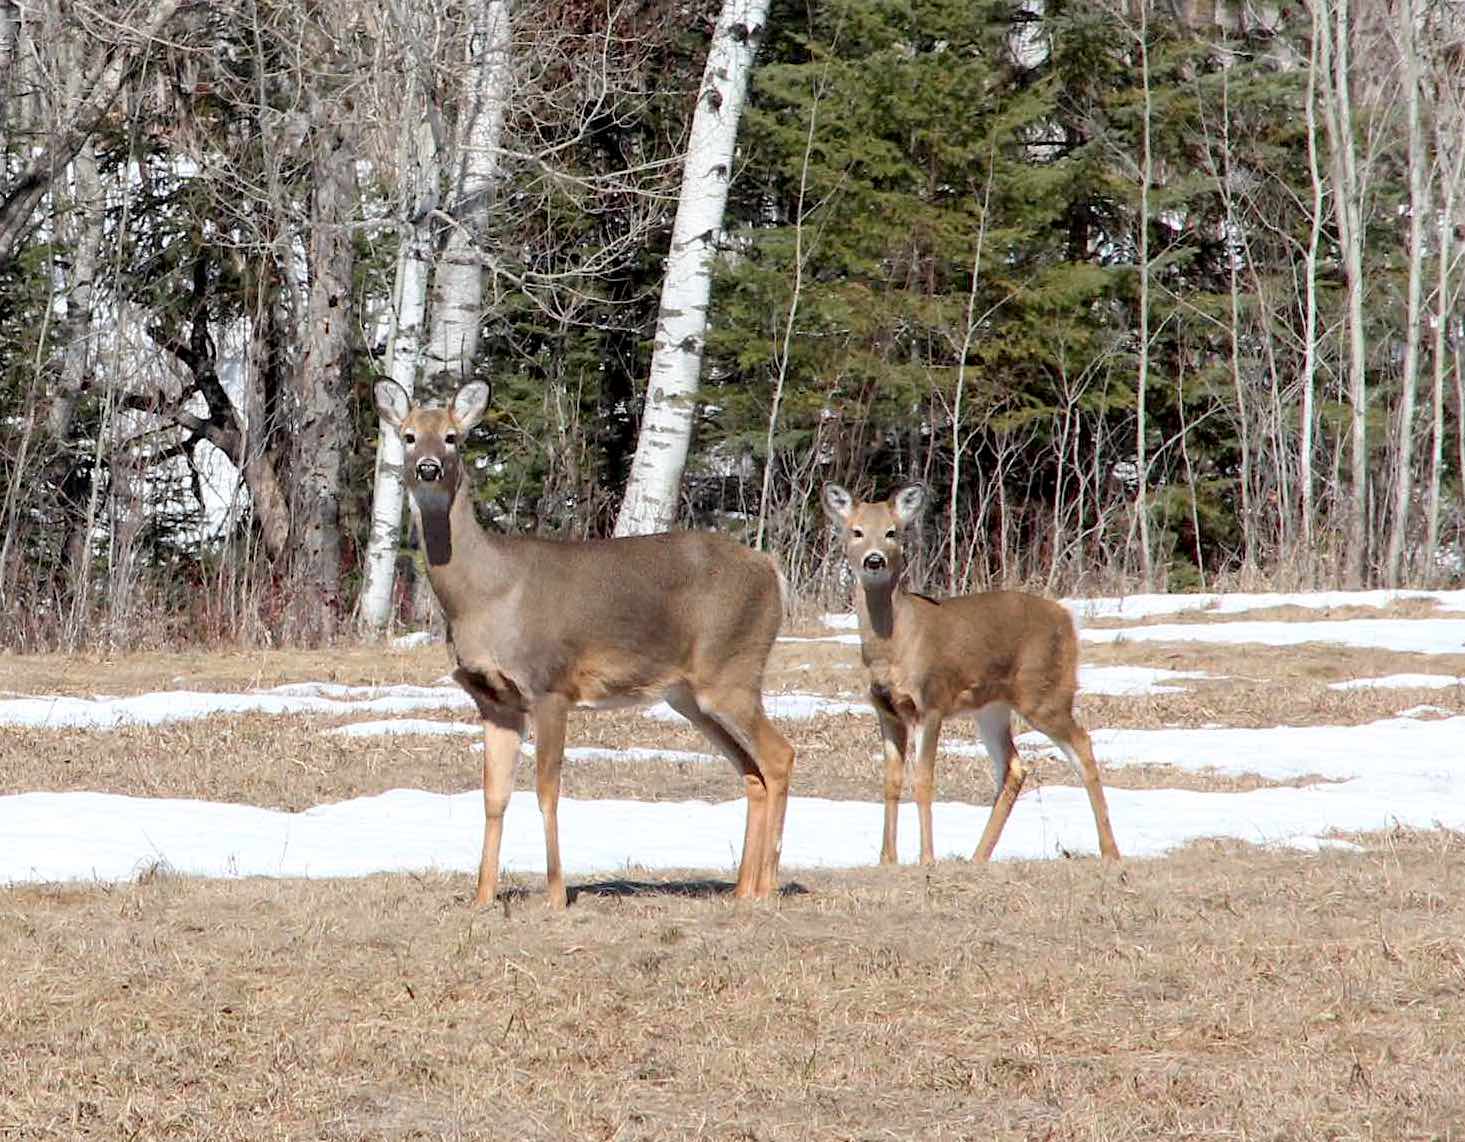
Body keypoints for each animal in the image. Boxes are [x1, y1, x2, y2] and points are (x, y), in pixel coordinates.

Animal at [374, 379, 795, 909]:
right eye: (408, 436)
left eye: (452, 437)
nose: (428, 467)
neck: (485, 594)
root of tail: (772, 569)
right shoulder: (494, 701)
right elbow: (494, 796)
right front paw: (483, 896)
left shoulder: (550, 685)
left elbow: (546, 791)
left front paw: (556, 894)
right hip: (690, 695)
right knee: (752, 772)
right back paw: (741, 889)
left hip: (732, 670)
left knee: (779, 756)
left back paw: (768, 886)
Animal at [821, 481, 1120, 867]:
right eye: (856, 531)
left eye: (892, 532)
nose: (874, 560)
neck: (895, 642)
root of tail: (1067, 617)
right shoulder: (886, 710)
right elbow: (890, 781)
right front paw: (887, 860)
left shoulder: (931, 701)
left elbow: (924, 779)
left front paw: (926, 859)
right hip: (991, 707)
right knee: (1013, 766)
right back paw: (978, 856)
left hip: (1045, 692)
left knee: (1082, 744)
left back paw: (1110, 851)